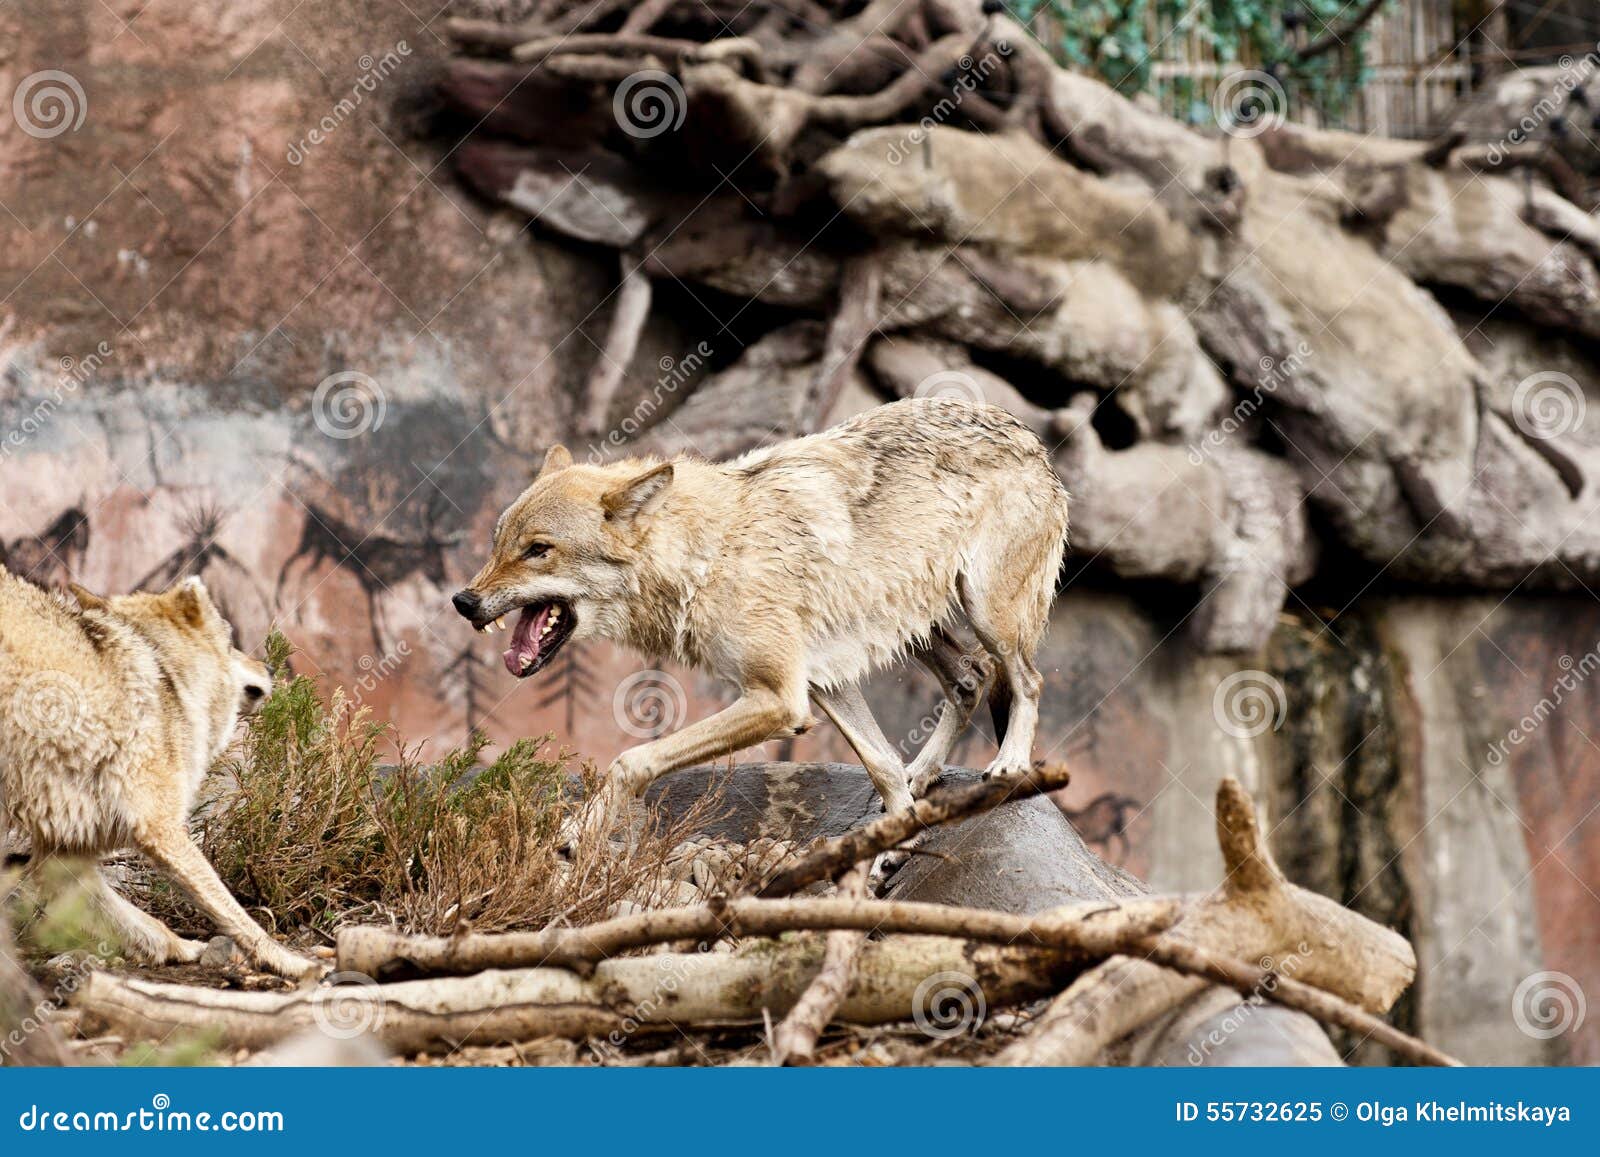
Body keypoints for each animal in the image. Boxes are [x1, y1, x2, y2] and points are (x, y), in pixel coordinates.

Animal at [0, 569, 317, 979]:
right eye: (231, 641)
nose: (271, 669)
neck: (165, 670)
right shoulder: (160, 828)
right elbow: (232, 909)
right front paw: (289, 961)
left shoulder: (65, 855)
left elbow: (138, 921)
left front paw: (181, 948)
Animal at [452, 397, 1069, 835]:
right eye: (498, 542)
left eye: (539, 550)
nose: (464, 602)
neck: (709, 555)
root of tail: (1031, 438)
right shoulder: (823, 682)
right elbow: (883, 769)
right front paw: (885, 855)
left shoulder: (779, 699)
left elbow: (631, 759)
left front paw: (574, 837)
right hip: (916, 629)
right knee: (970, 679)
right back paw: (927, 773)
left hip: (988, 614)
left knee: (1028, 680)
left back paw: (1010, 764)